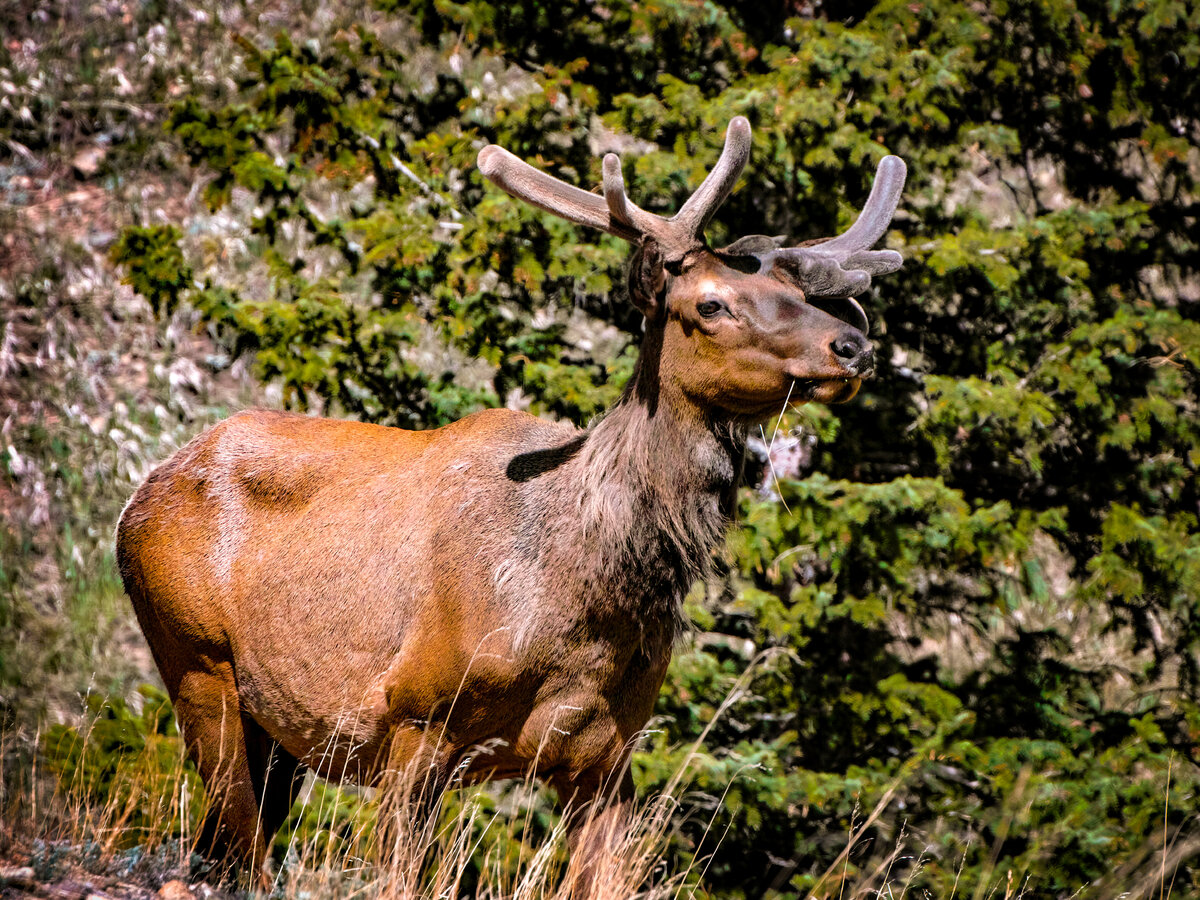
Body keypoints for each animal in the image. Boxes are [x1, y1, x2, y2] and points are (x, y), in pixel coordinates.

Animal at [115, 115, 905, 890]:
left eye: (804, 297)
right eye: (711, 303)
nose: (853, 345)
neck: (578, 603)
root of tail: (139, 499)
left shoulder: (609, 756)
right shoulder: (413, 718)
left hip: (276, 730)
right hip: (196, 659)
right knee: (239, 854)